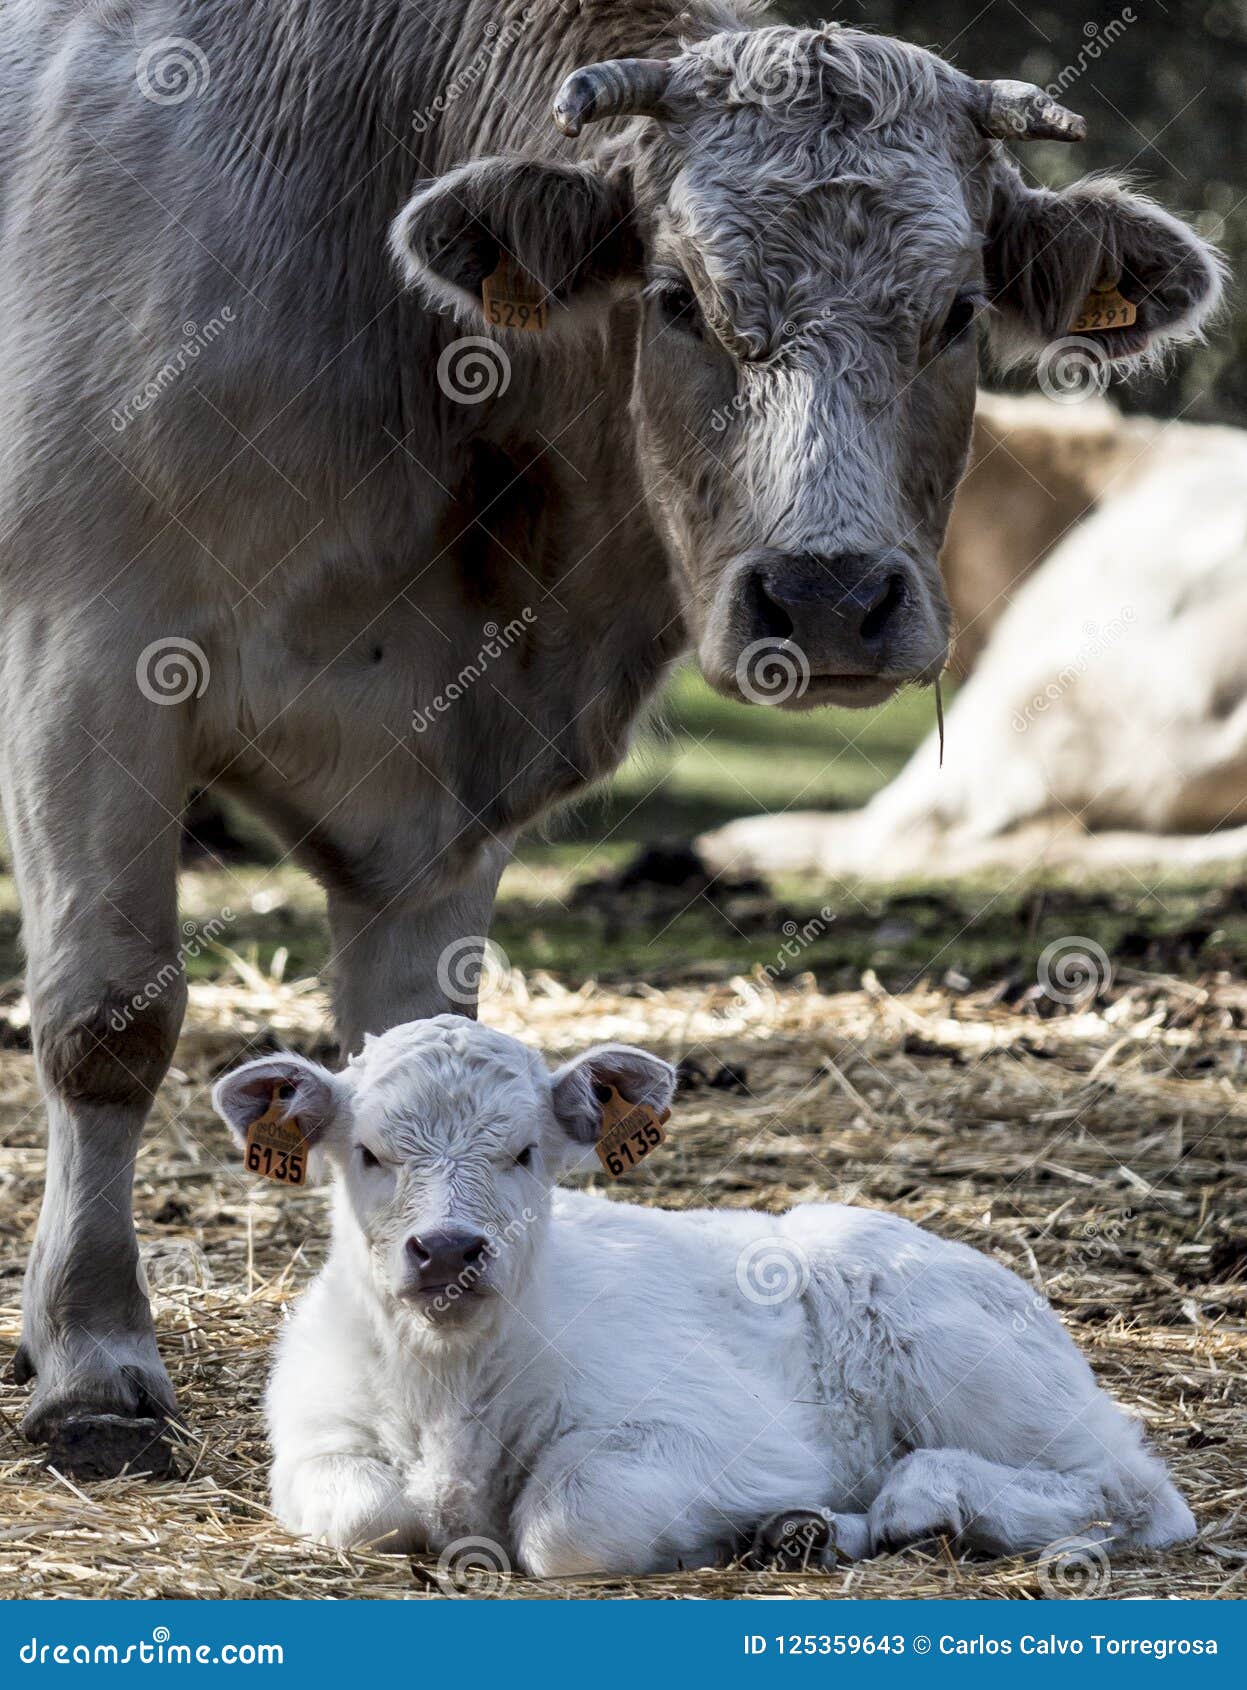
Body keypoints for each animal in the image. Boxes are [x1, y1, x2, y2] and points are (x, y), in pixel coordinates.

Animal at [0, 0, 1220, 1475]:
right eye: (678, 297)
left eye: (958, 309)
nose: (826, 594)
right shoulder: (86, 651)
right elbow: (105, 1020)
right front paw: (91, 1362)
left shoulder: (441, 786)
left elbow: (413, 1044)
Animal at [211, 1016, 1195, 1572]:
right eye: (368, 1153)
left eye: (524, 1152)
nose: (448, 1249)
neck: (448, 1385)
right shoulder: (315, 1440)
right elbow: (372, 1514)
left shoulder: (717, 1432)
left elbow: (567, 1523)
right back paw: (808, 1534)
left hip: (967, 1359)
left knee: (1133, 1490)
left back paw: (911, 1501)